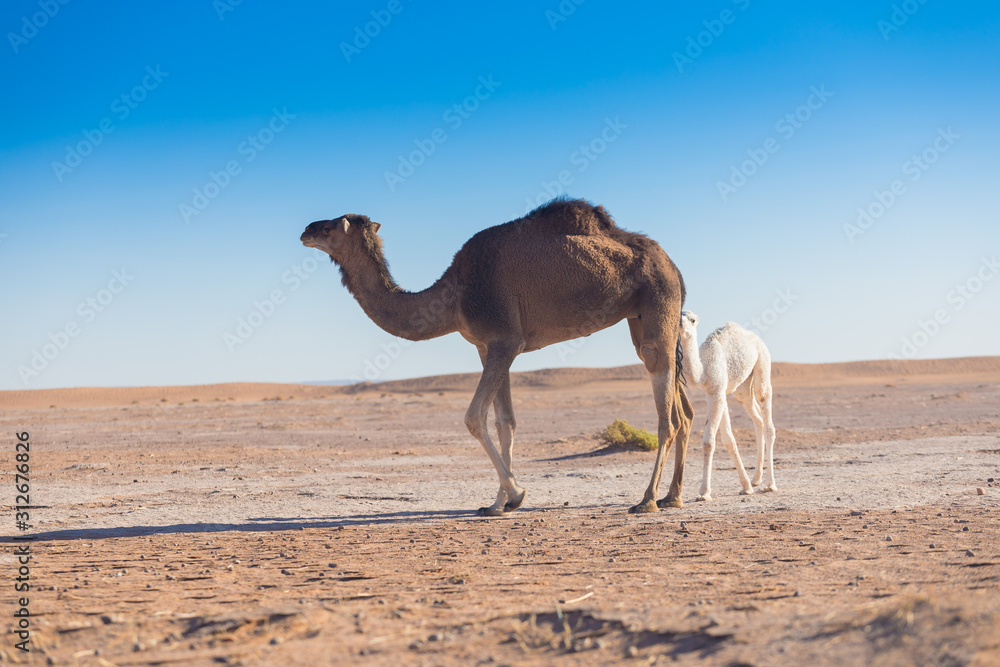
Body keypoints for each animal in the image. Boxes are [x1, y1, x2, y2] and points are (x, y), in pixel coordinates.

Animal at [300, 198, 692, 515]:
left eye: (331, 226)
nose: (306, 229)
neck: (455, 295)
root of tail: (673, 265)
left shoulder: (505, 340)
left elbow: (474, 416)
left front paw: (517, 494)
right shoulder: (489, 346)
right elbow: (506, 422)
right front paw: (497, 504)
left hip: (658, 299)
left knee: (667, 412)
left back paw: (647, 500)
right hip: (640, 316)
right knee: (682, 409)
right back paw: (672, 497)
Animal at [678, 310, 777, 501]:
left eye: (692, 320)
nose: (680, 324)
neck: (704, 371)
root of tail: (755, 337)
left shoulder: (717, 392)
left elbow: (709, 441)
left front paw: (704, 492)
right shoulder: (717, 393)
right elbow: (728, 439)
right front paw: (746, 486)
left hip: (763, 361)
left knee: (765, 407)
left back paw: (770, 484)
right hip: (742, 388)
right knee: (757, 419)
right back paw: (756, 479)